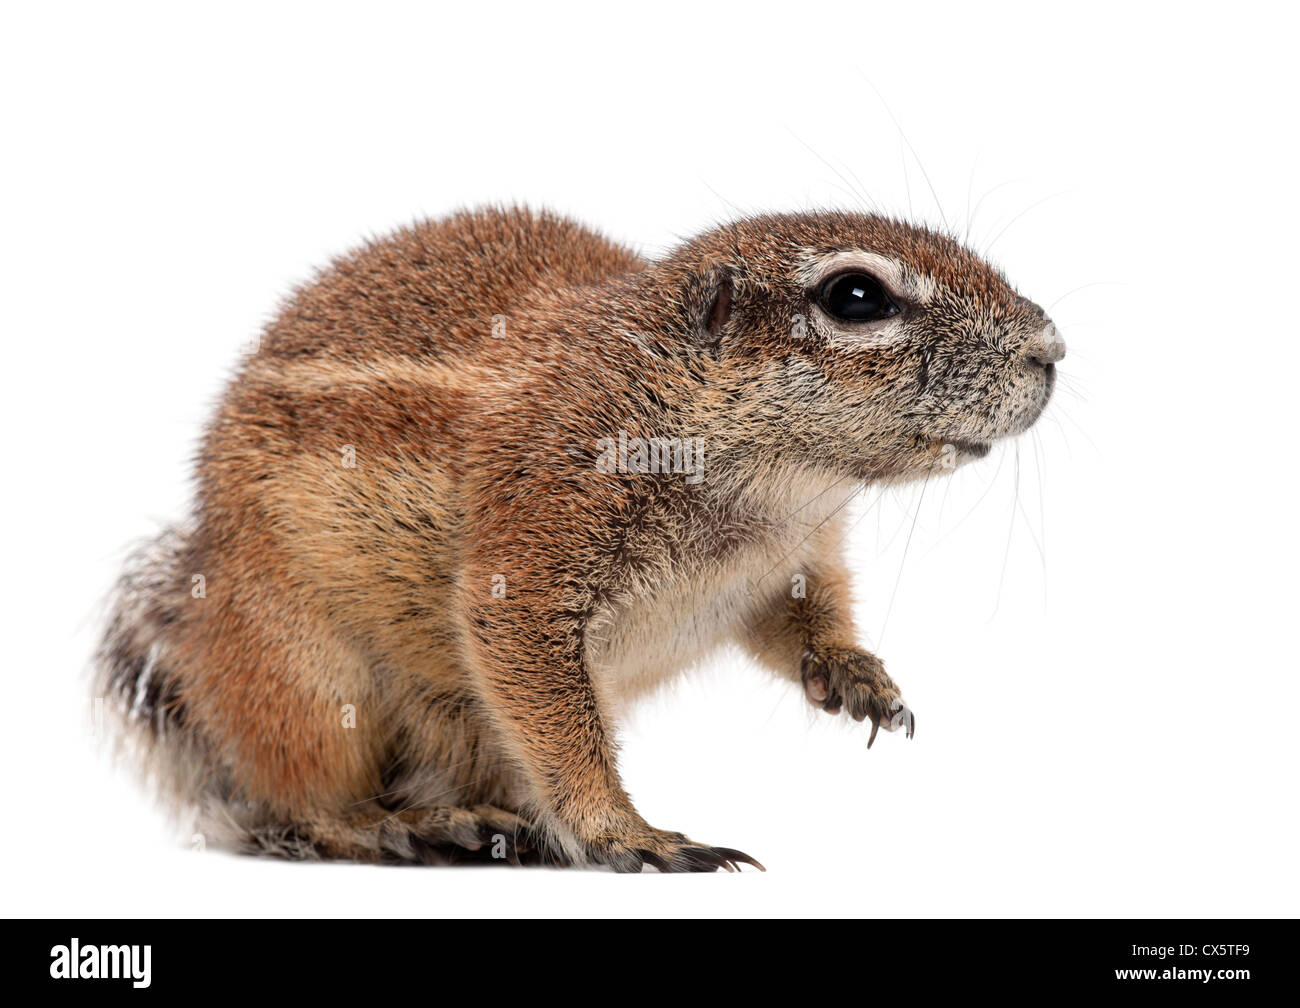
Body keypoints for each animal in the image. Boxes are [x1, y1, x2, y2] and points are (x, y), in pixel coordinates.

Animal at [96, 205, 1064, 872]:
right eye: (856, 296)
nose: (1052, 348)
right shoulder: (536, 540)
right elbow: (551, 709)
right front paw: (629, 834)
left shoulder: (791, 560)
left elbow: (798, 622)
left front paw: (859, 677)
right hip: (301, 674)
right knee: (290, 800)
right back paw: (395, 826)